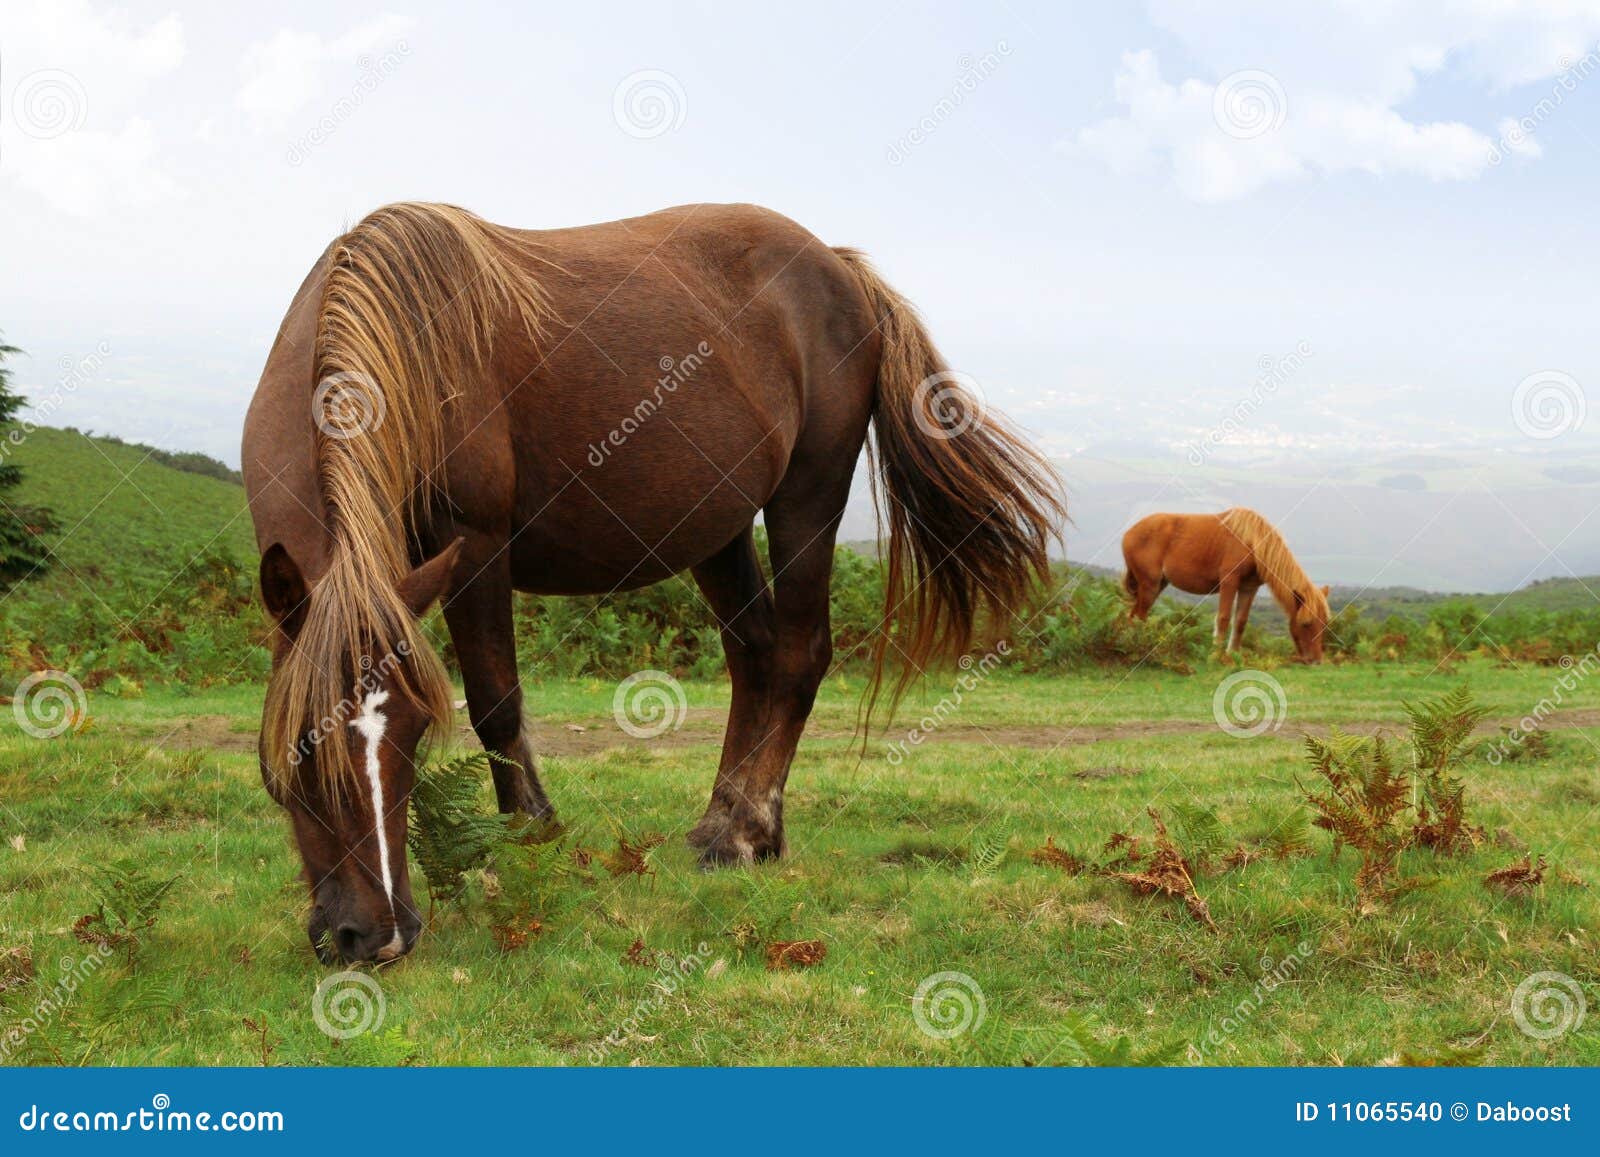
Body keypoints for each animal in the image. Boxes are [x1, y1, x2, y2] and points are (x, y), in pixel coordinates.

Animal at [242, 201, 1063, 964]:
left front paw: (528, 839)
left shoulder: (474, 544)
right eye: (300, 748)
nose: (375, 936)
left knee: (800, 653)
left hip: (808, 496)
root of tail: (839, 266)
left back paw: (744, 832)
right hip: (719, 530)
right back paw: (730, 823)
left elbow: (496, 702)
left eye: (414, 732)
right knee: (755, 655)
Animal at [1120, 507, 1329, 661]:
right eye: (1306, 624)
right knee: (1139, 616)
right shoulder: (1229, 581)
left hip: (1158, 585)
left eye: (1324, 624)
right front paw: (1216, 655)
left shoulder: (1249, 587)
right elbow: (1223, 618)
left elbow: (1240, 621)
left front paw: (1232, 655)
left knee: (1134, 615)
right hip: (1150, 585)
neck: (1251, 542)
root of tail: (1129, 533)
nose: (1315, 660)